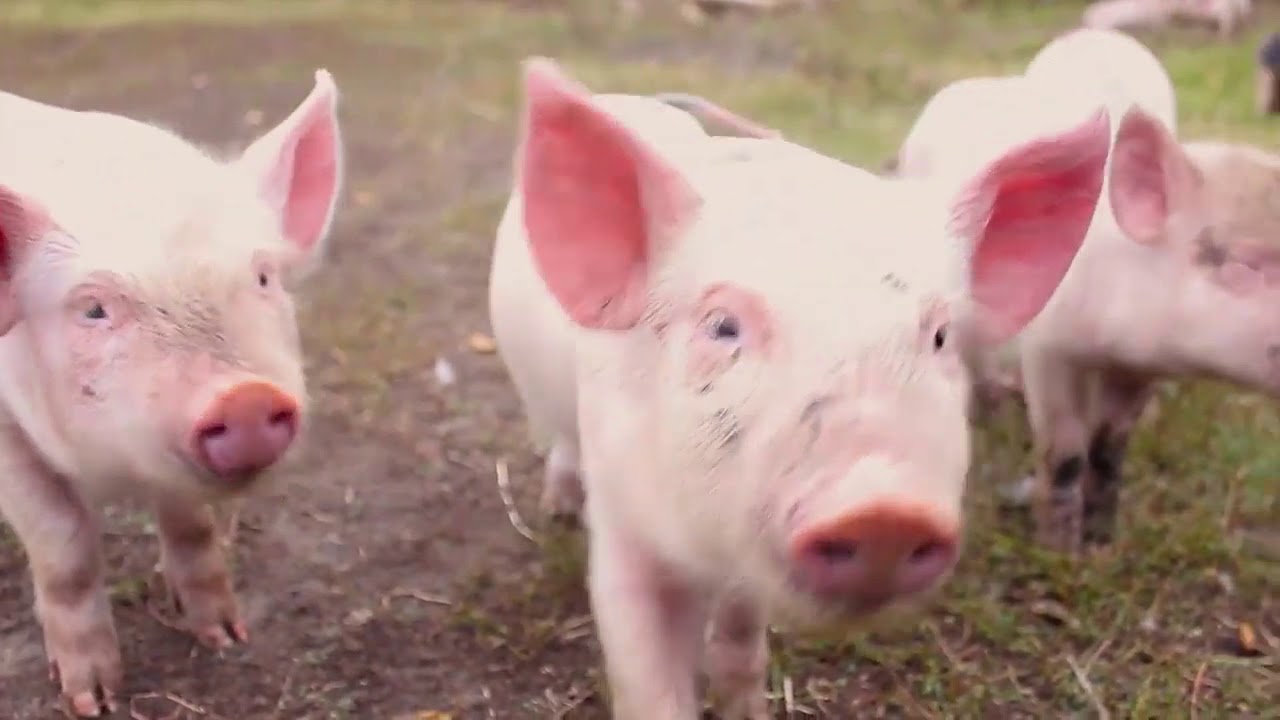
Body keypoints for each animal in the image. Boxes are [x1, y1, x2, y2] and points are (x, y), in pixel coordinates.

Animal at [0, 70, 342, 716]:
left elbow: (191, 523)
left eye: (264, 276)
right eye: (93, 308)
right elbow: (64, 547)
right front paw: (93, 699)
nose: (245, 398)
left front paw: (226, 636)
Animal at [492, 56, 1112, 719]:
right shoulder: (621, 525)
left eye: (941, 335)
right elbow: (650, 683)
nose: (884, 511)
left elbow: (740, 651)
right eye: (723, 325)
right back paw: (556, 509)